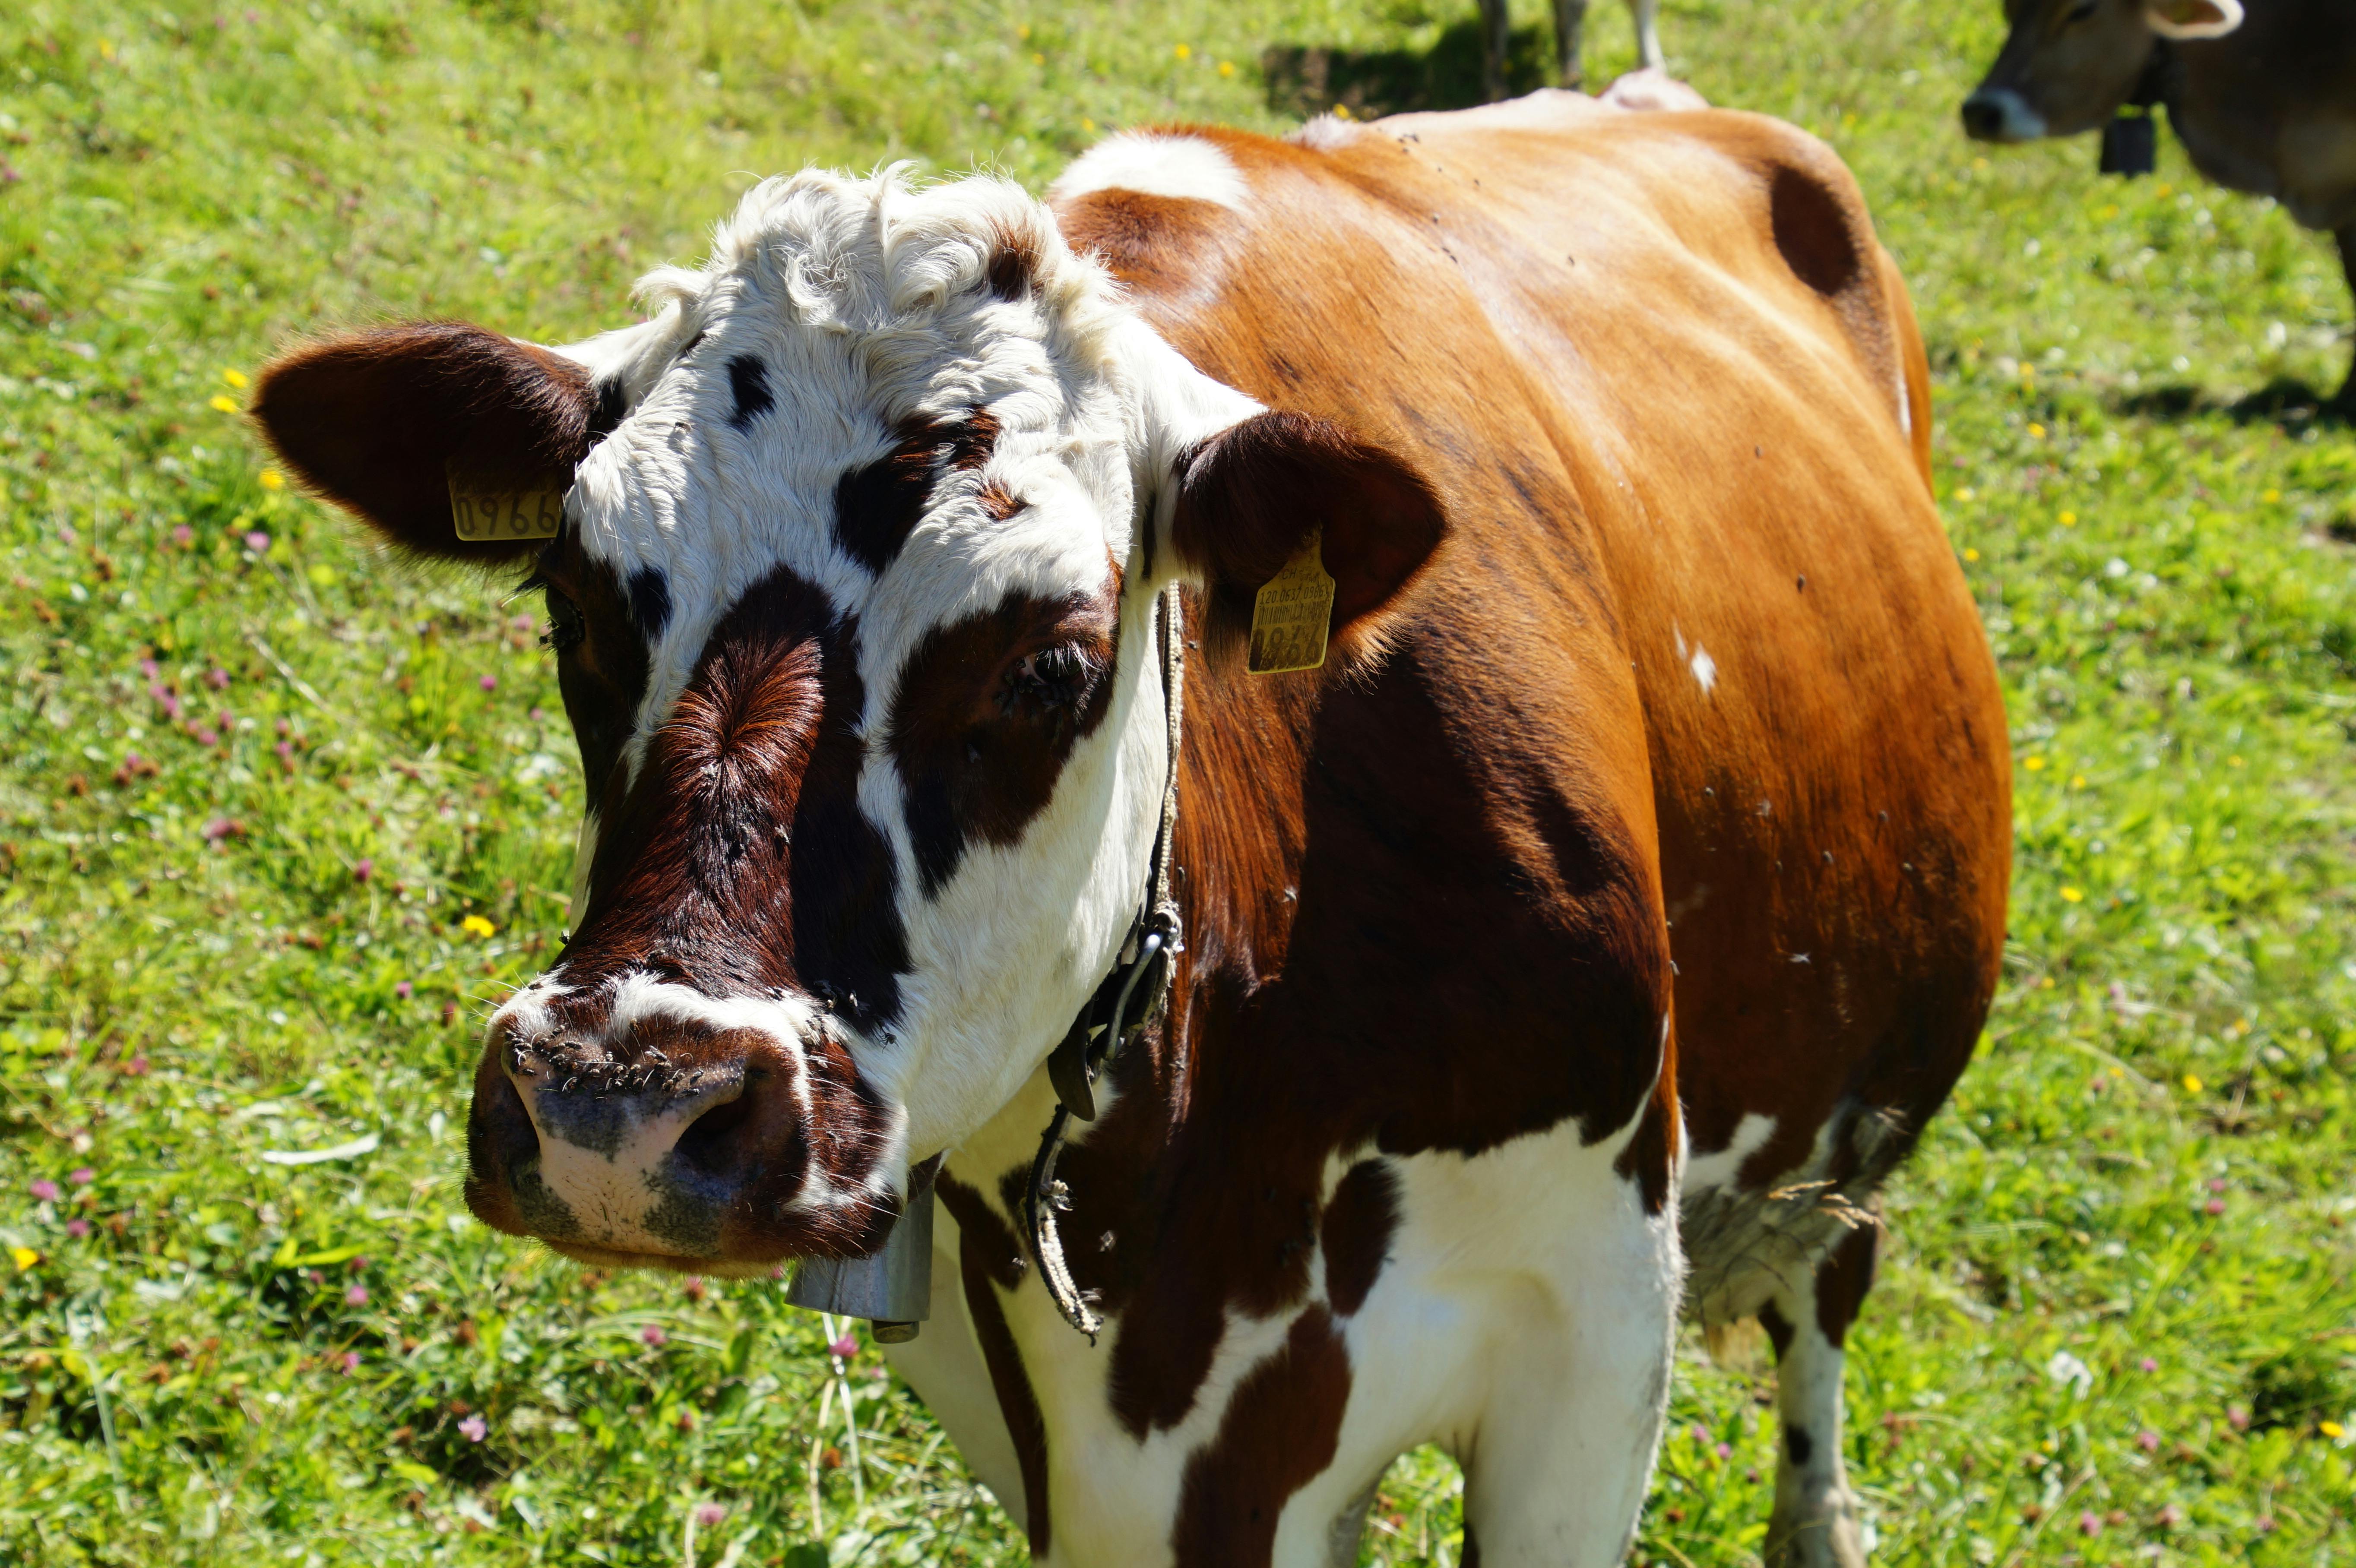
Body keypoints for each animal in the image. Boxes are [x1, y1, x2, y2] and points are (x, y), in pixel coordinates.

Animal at [252, 88, 2010, 1568]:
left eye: (1051, 664)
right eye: (580, 608)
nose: (616, 1110)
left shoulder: (1586, 1342)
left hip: (1861, 1121)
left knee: (1827, 1305)